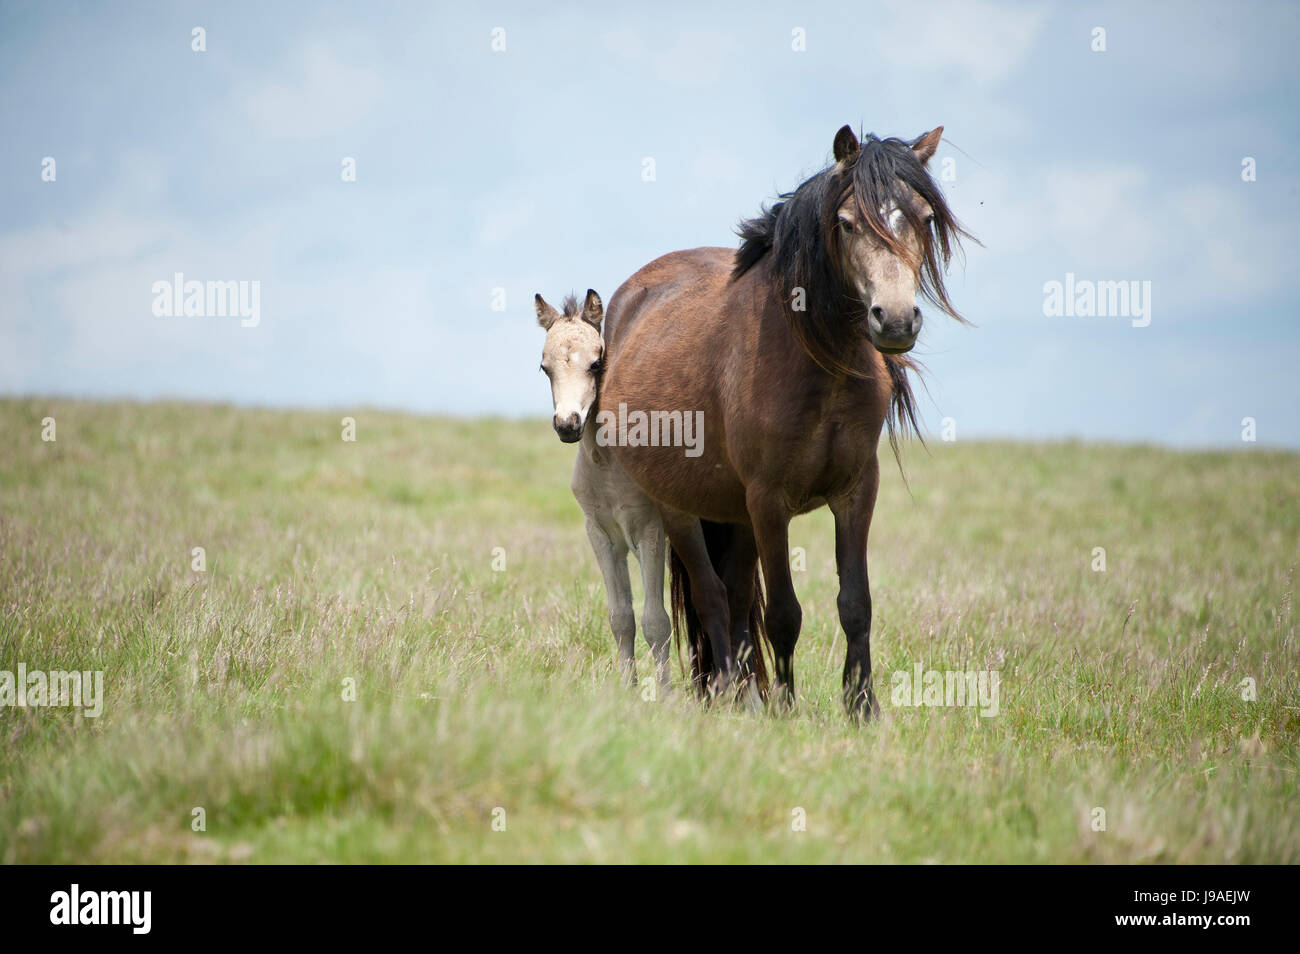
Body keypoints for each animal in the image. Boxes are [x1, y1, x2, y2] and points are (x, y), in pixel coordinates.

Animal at [535, 289, 673, 692]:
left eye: (596, 364)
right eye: (544, 367)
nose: (567, 424)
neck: (608, 467)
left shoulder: (650, 532)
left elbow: (656, 621)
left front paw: (666, 695)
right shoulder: (601, 535)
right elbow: (621, 618)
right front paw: (628, 691)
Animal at [599, 124, 972, 719]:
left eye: (923, 217)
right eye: (847, 223)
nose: (894, 320)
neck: (820, 364)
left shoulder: (856, 491)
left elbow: (855, 603)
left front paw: (862, 706)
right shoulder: (769, 500)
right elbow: (783, 613)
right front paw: (787, 708)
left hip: (735, 515)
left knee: (734, 595)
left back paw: (744, 694)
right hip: (682, 509)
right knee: (712, 595)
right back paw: (731, 690)